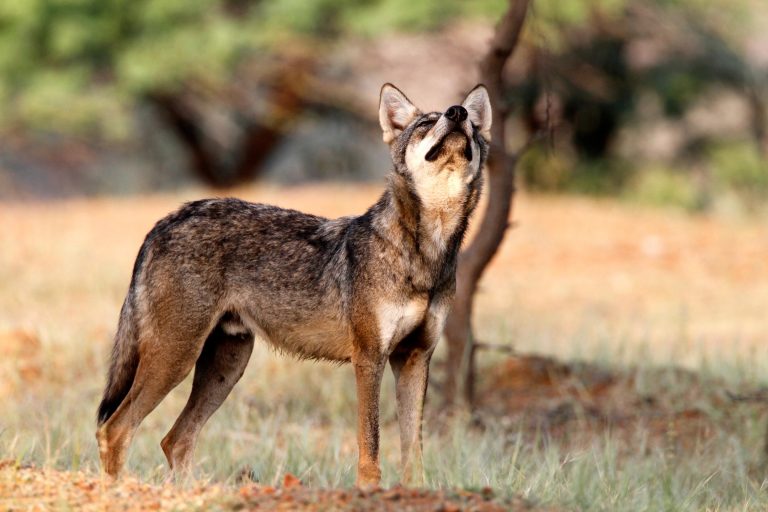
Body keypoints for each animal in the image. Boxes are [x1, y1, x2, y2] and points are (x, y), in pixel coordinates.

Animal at [96, 83, 491, 488]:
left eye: (474, 127)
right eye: (427, 123)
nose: (458, 112)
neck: (426, 252)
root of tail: (166, 220)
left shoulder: (415, 358)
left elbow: (414, 454)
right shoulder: (369, 358)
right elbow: (371, 446)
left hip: (225, 367)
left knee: (174, 440)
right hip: (177, 357)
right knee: (115, 430)